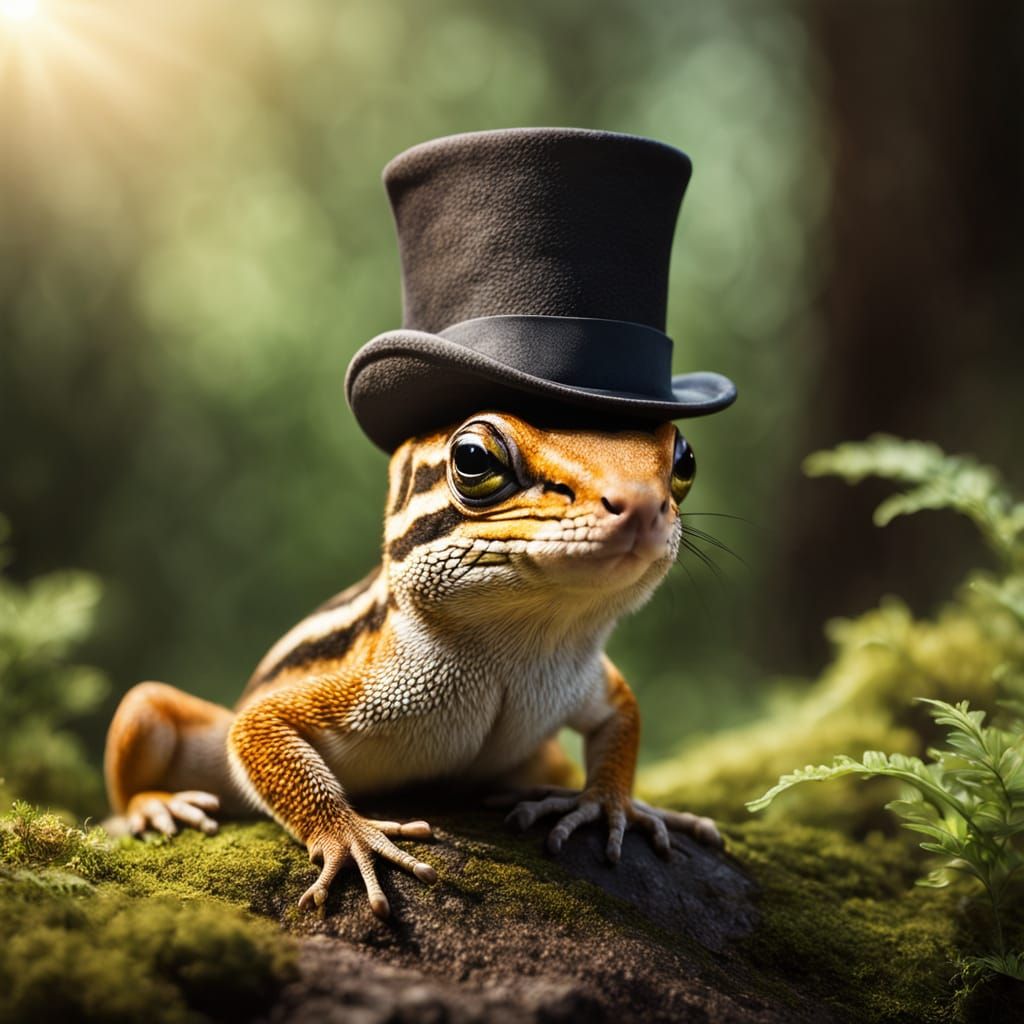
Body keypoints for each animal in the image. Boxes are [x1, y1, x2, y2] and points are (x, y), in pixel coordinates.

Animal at [104, 411, 722, 917]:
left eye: (684, 458)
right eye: (474, 457)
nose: (640, 504)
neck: (518, 648)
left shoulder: (587, 681)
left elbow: (624, 716)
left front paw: (610, 806)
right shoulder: (356, 689)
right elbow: (258, 723)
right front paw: (348, 837)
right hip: (161, 721)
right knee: (145, 714)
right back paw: (151, 807)